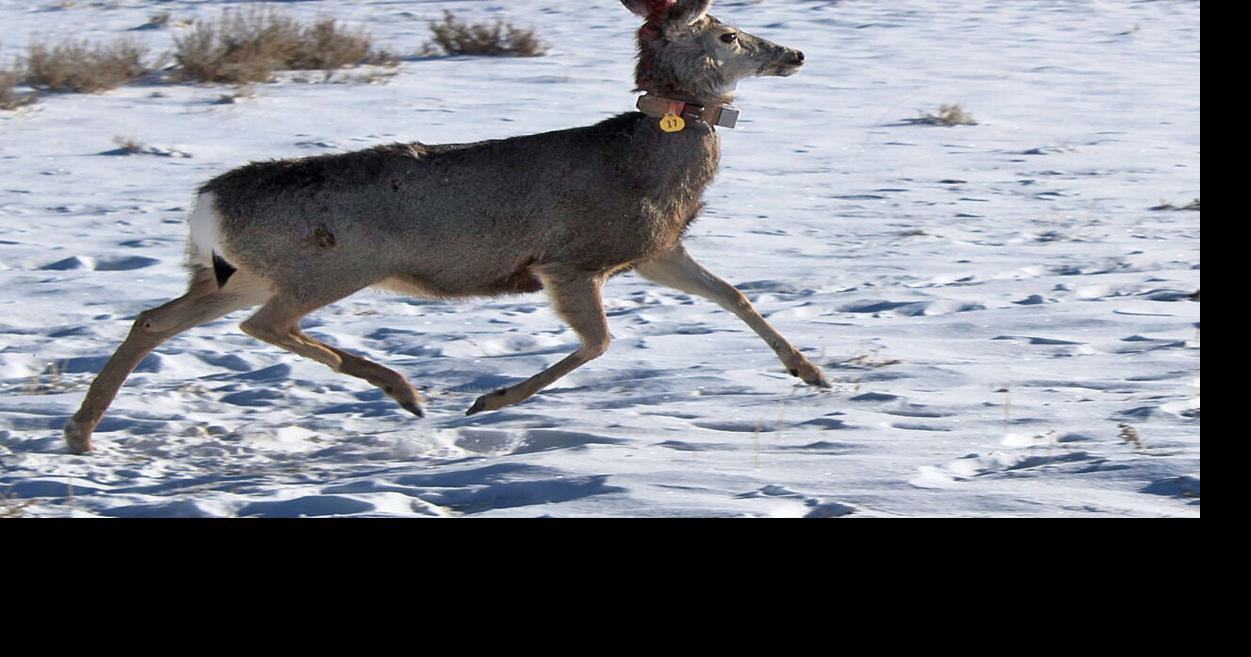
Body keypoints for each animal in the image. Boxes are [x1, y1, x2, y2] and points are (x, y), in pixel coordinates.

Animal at [63, 0, 829, 454]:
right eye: (727, 33)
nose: (794, 54)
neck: (646, 161)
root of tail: (206, 201)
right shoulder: (570, 260)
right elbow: (598, 343)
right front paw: (489, 401)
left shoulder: (651, 250)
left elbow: (733, 294)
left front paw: (812, 372)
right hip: (328, 266)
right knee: (265, 326)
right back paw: (403, 390)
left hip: (237, 273)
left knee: (153, 319)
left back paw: (80, 432)